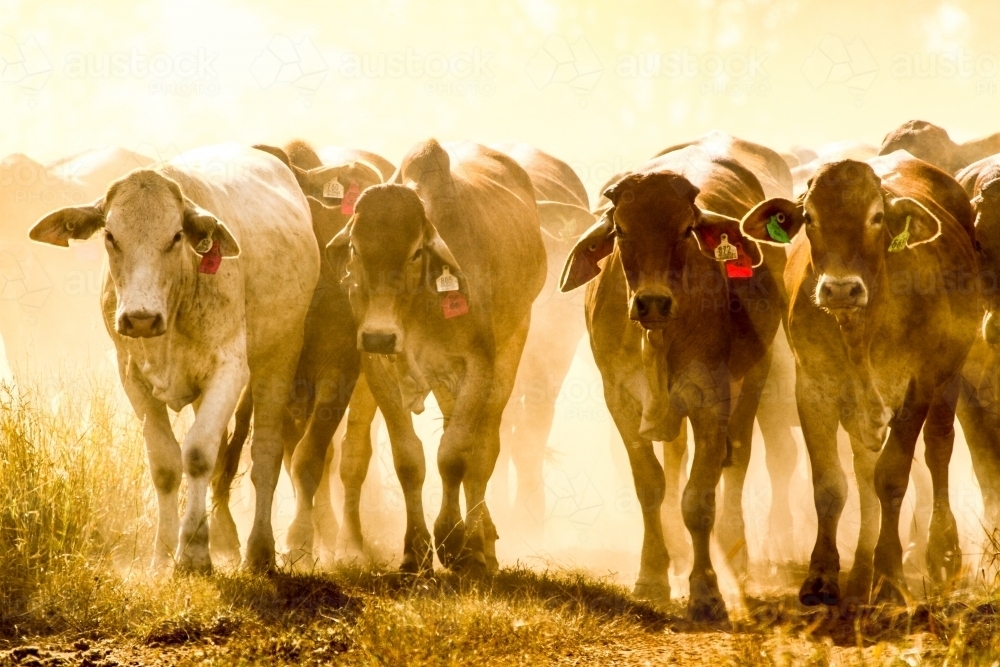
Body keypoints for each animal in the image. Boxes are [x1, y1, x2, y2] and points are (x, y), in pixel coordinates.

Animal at [28, 144, 320, 574]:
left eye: (176, 236)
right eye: (111, 236)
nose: (140, 317)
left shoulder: (230, 370)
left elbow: (197, 454)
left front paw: (195, 553)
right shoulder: (132, 377)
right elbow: (166, 464)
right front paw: (163, 555)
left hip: (279, 357)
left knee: (265, 453)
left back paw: (260, 551)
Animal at [327, 139, 546, 575]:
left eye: (415, 253)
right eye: (356, 248)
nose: (379, 335)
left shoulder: (478, 366)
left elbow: (456, 457)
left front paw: (456, 541)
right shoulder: (378, 371)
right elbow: (410, 460)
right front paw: (415, 550)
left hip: (512, 346)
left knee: (484, 450)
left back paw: (482, 542)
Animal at [561, 140, 787, 621]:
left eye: (686, 230)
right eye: (621, 230)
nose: (652, 303)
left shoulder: (711, 402)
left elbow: (698, 498)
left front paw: (706, 592)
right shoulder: (621, 401)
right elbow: (650, 487)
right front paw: (652, 575)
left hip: (752, 383)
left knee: (737, 462)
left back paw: (735, 556)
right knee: (676, 458)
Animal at [739, 151, 979, 606]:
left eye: (876, 217)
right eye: (809, 217)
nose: (839, 290)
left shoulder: (917, 389)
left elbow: (892, 477)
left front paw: (888, 575)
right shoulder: (812, 388)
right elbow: (832, 484)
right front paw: (823, 576)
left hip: (949, 377)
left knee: (938, 450)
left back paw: (942, 554)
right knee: (863, 471)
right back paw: (860, 572)